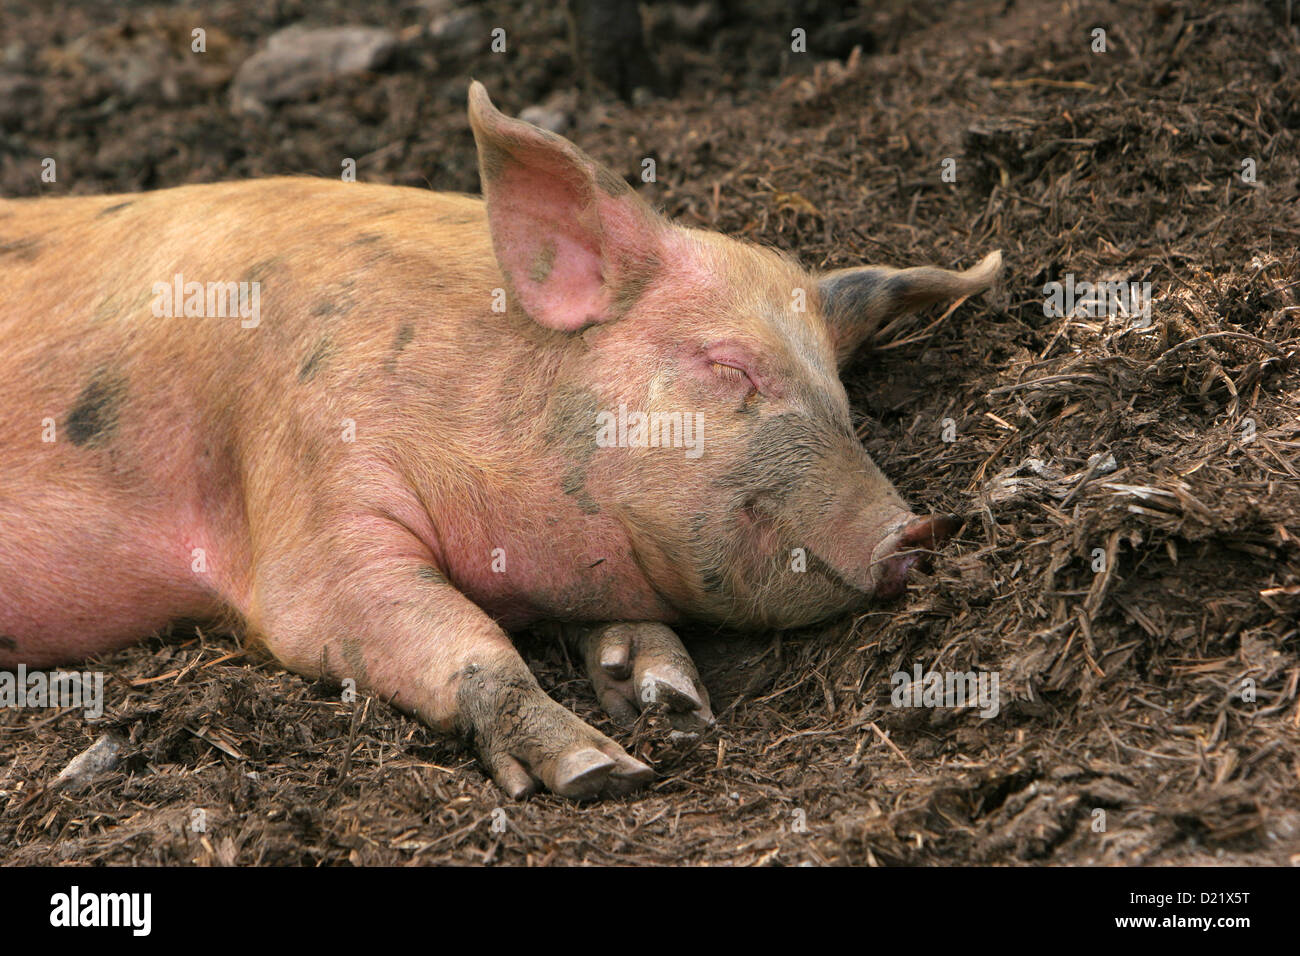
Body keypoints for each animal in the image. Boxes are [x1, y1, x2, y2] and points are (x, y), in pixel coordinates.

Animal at [0, 83, 1000, 799]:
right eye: (729, 366)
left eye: (841, 393)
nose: (917, 531)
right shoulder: (310, 472)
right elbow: (436, 632)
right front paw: (603, 770)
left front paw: (671, 701)